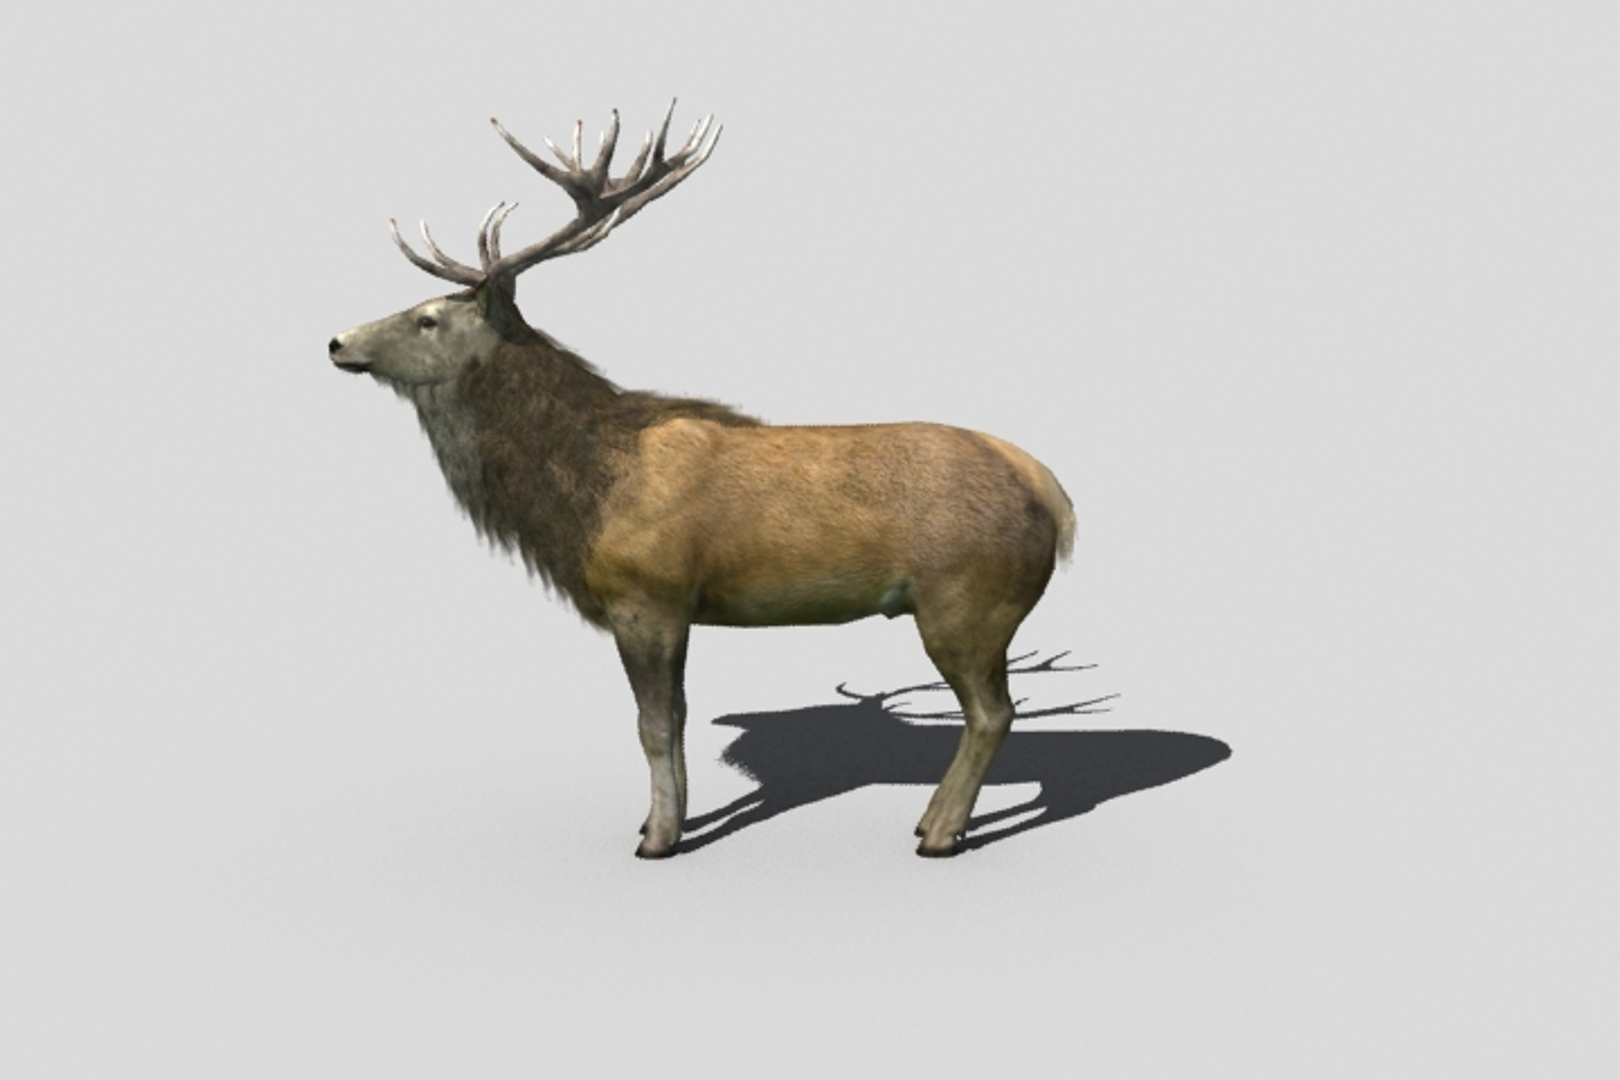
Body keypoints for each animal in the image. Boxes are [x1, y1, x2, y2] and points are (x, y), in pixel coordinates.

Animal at [328, 102, 1077, 858]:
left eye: (427, 318)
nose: (336, 340)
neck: (580, 497)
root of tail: (1053, 492)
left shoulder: (648, 594)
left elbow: (655, 724)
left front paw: (658, 837)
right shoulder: (677, 606)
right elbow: (677, 716)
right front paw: (665, 820)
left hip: (966, 601)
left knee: (993, 712)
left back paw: (940, 832)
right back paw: (932, 819)